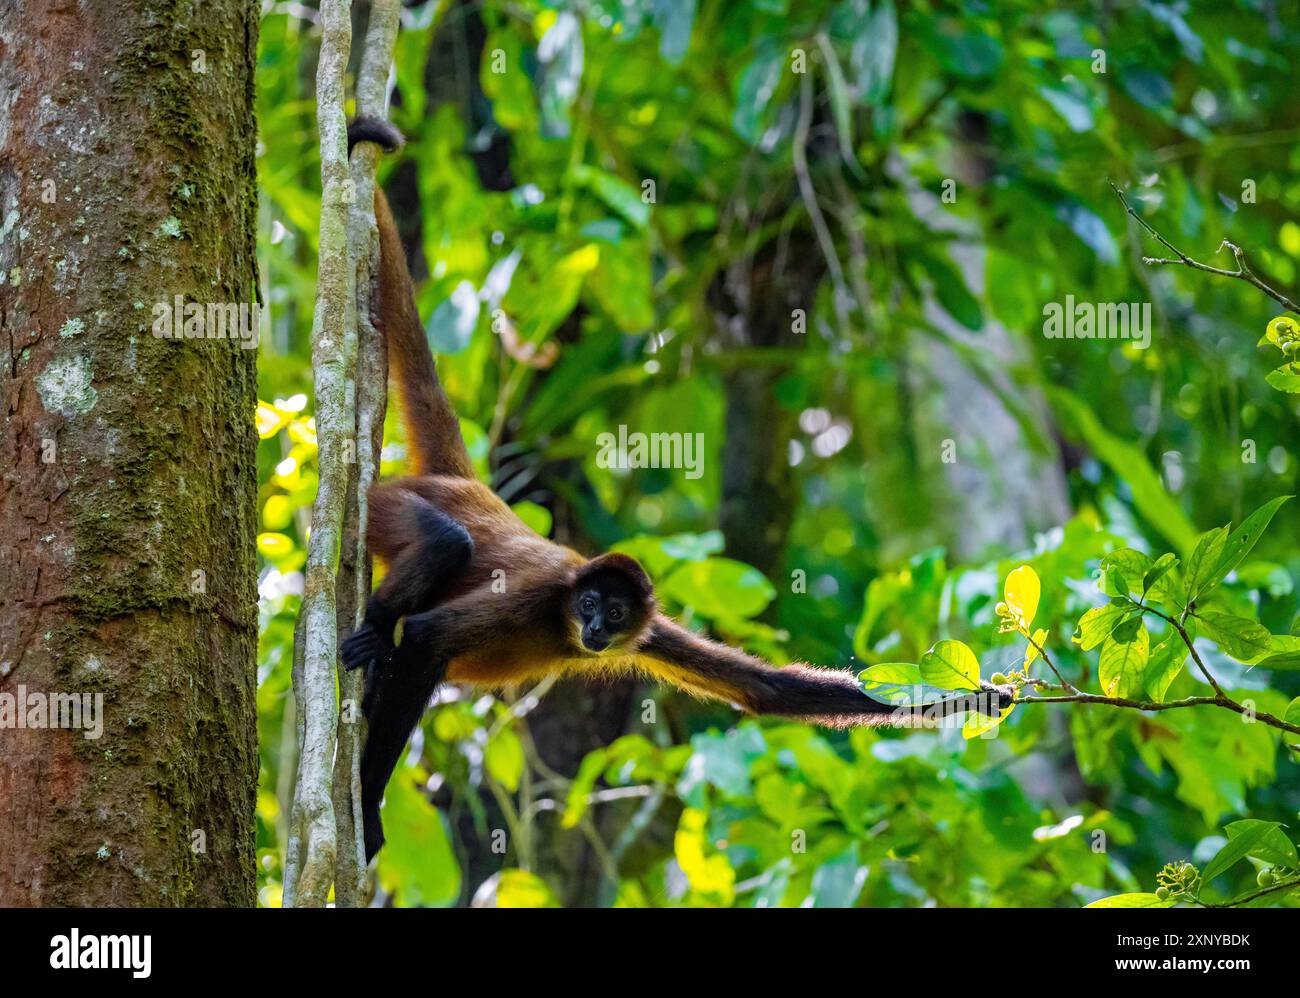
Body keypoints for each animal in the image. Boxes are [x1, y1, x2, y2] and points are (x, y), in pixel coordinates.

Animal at [342, 118, 1015, 860]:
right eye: (590, 606)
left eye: (613, 613)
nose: (596, 630)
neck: (561, 619)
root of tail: (464, 483)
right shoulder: (538, 598)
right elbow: (426, 636)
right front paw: (366, 805)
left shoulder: (649, 630)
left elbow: (765, 691)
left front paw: (982, 698)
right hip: (389, 503)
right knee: (445, 543)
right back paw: (377, 633)